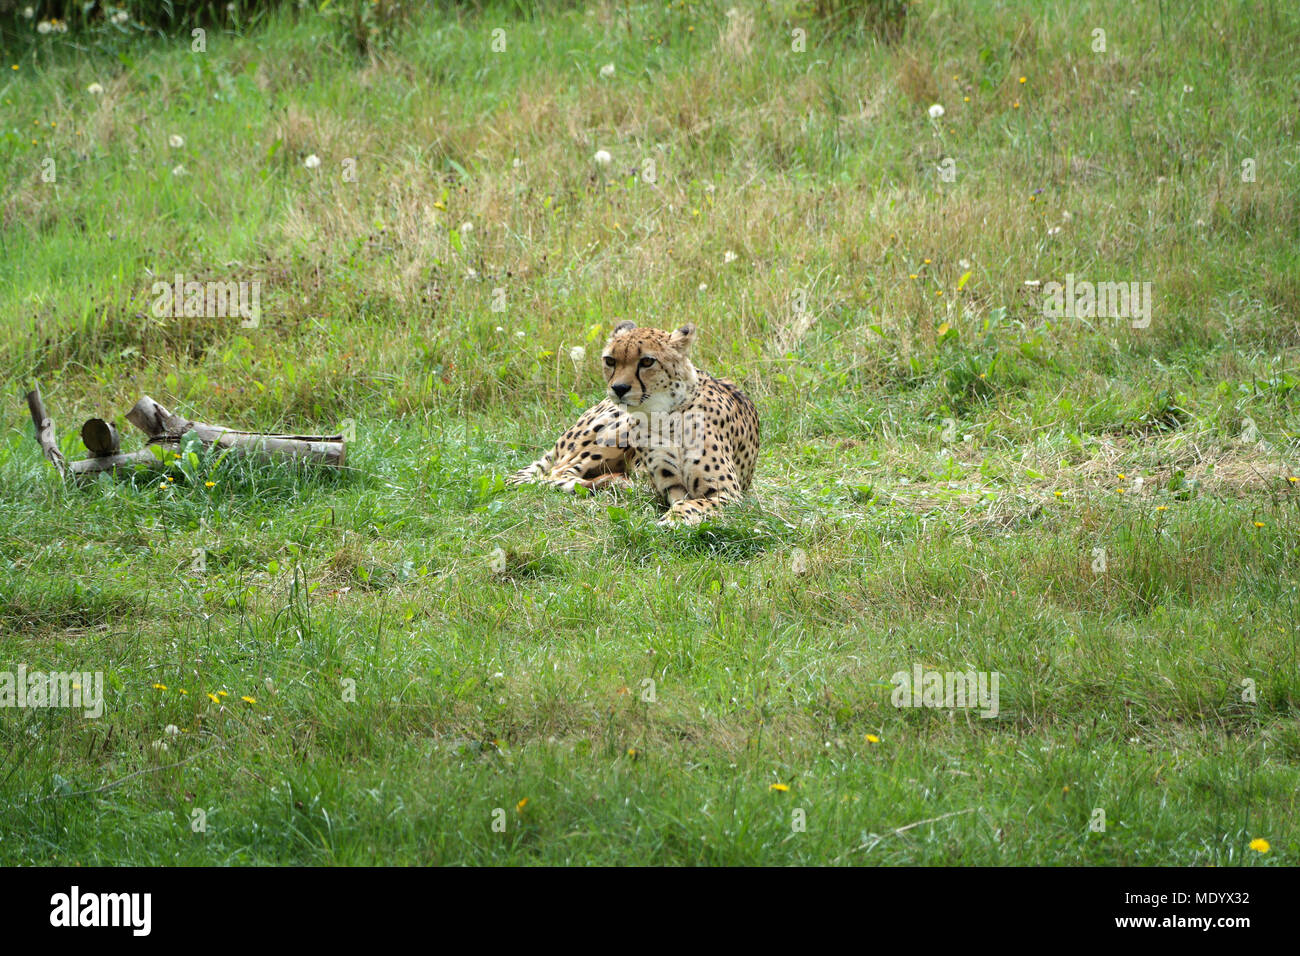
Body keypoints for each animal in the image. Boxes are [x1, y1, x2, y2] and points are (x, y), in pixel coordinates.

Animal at [506, 321, 760, 525]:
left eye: (647, 361)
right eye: (610, 360)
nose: (619, 388)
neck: (665, 417)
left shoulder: (728, 493)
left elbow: (693, 504)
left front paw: (672, 519)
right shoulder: (672, 487)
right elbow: (685, 502)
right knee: (556, 474)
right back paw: (617, 482)